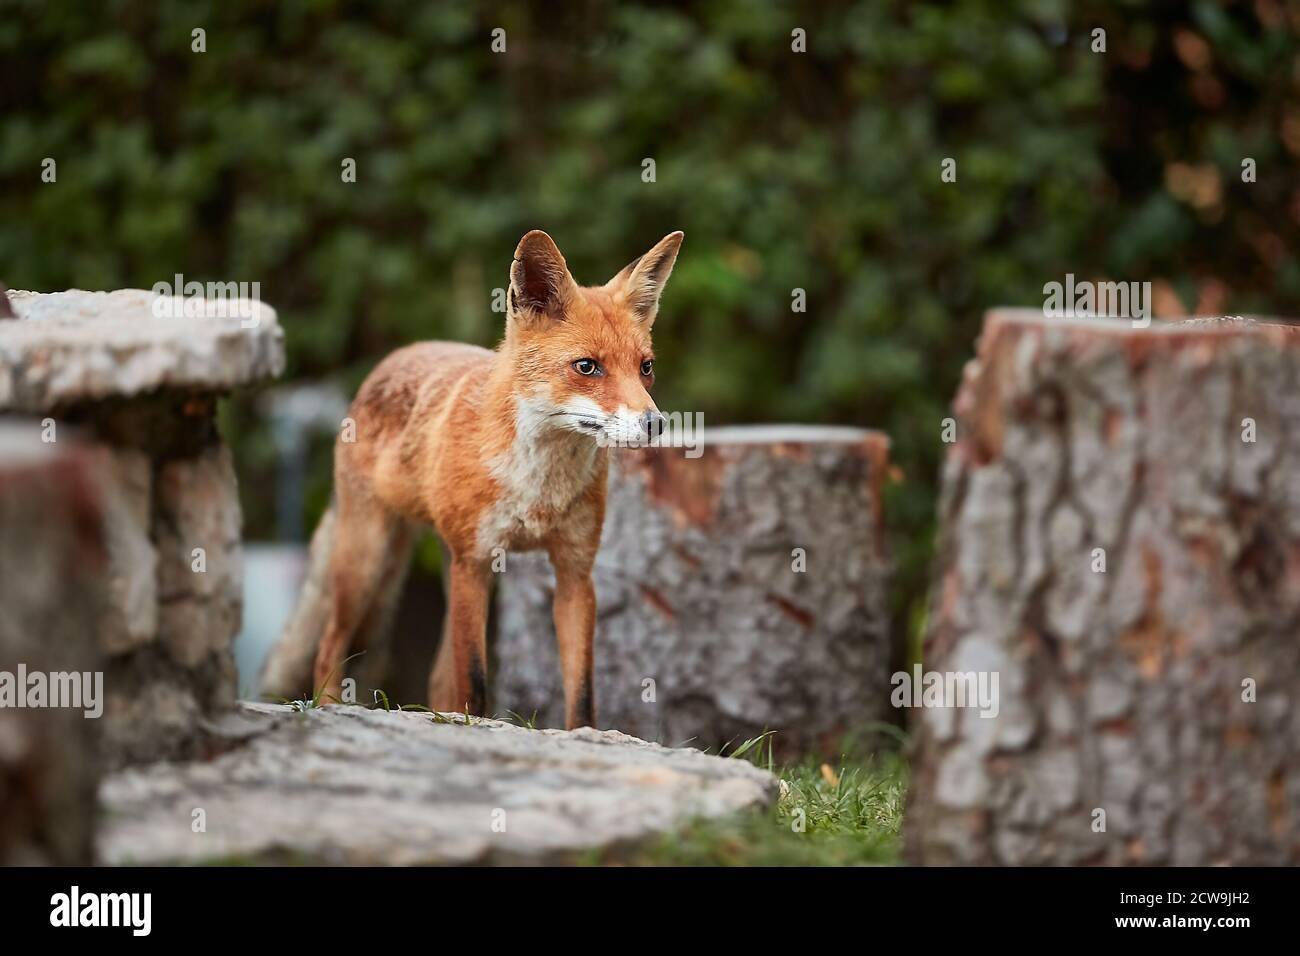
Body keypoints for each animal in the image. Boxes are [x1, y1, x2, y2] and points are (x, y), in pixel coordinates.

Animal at [308, 229, 683, 729]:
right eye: (587, 367)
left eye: (646, 367)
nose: (656, 424)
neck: (540, 491)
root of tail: (398, 354)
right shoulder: (475, 562)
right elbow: (475, 683)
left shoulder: (575, 573)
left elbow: (582, 693)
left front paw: (585, 736)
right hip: (367, 561)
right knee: (329, 644)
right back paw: (328, 708)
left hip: (441, 568)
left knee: (437, 681)